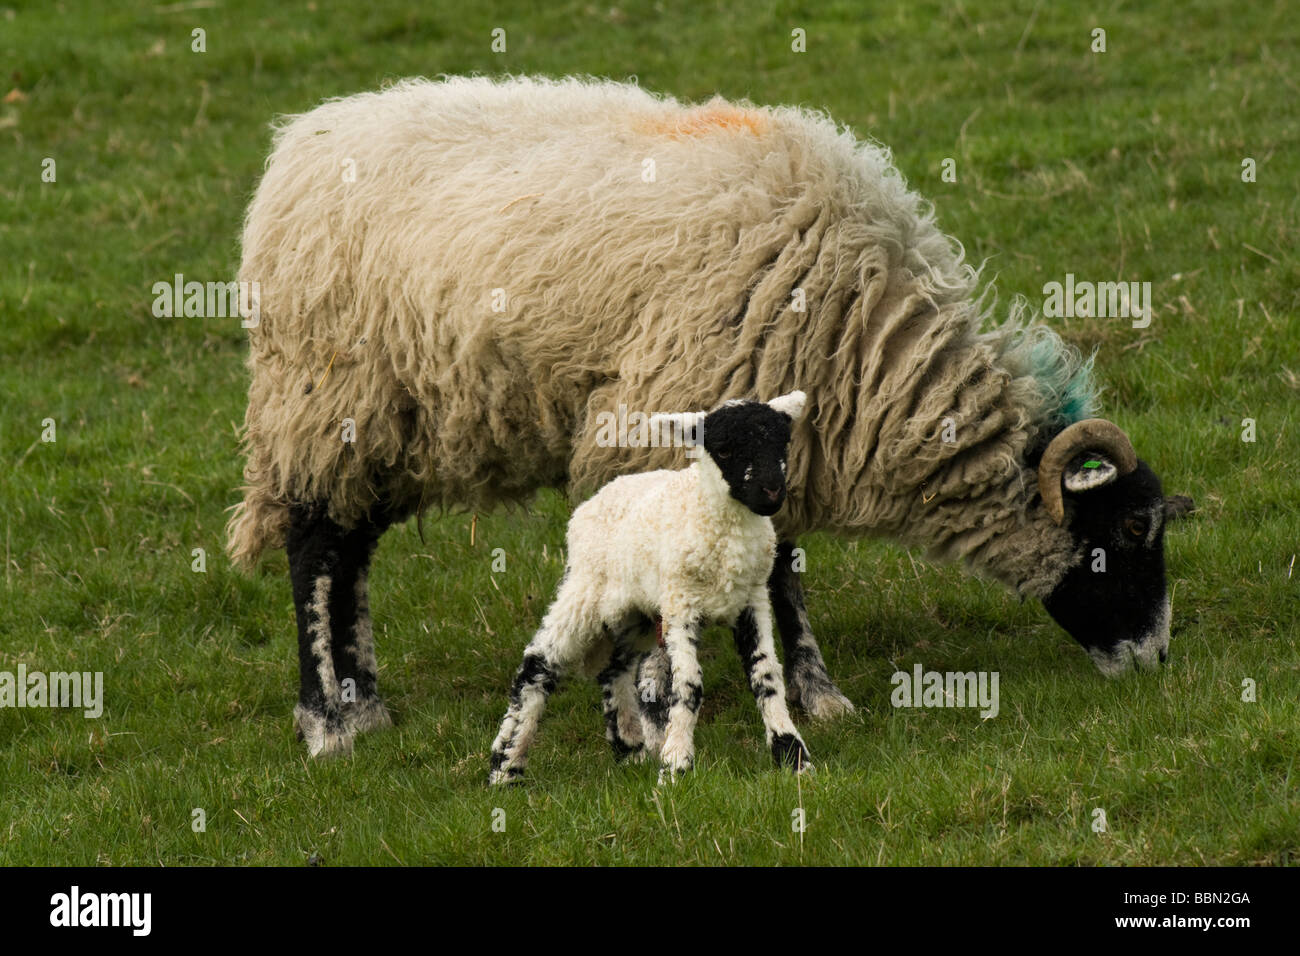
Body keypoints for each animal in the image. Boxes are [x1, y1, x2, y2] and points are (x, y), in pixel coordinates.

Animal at [488, 391, 812, 784]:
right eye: (723, 449)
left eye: (783, 442)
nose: (772, 491)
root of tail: (595, 499)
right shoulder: (681, 603)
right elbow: (687, 685)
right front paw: (676, 766)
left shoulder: (752, 600)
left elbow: (765, 675)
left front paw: (793, 755)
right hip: (584, 590)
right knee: (538, 664)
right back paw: (505, 767)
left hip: (636, 612)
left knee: (614, 669)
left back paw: (628, 749)